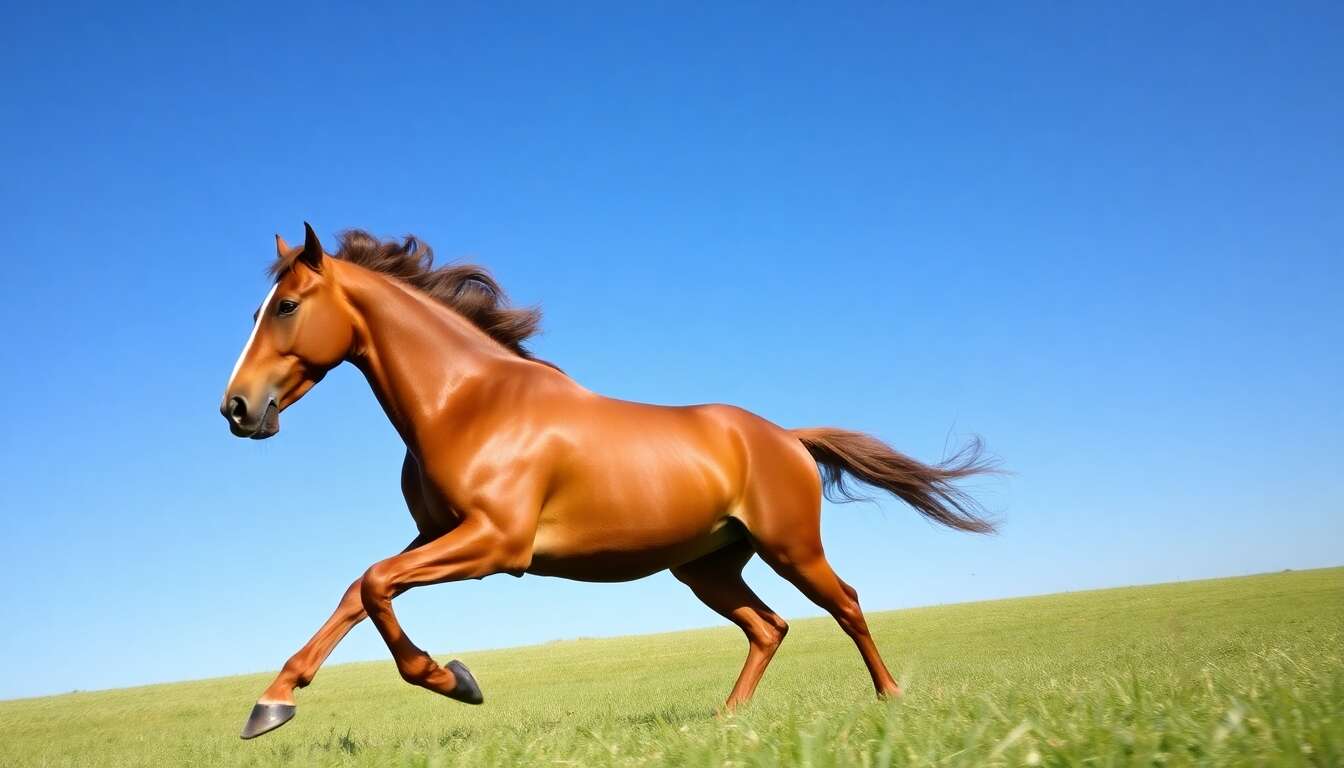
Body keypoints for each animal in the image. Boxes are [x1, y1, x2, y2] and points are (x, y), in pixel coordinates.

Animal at [221, 223, 997, 739]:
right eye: (256, 310)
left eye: (286, 306)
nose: (237, 408)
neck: (469, 403)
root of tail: (784, 437)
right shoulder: (435, 534)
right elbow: (358, 591)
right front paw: (272, 704)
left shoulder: (496, 546)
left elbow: (377, 583)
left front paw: (456, 681)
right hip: (708, 568)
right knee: (768, 626)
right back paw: (725, 718)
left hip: (792, 548)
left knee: (848, 606)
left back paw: (891, 698)